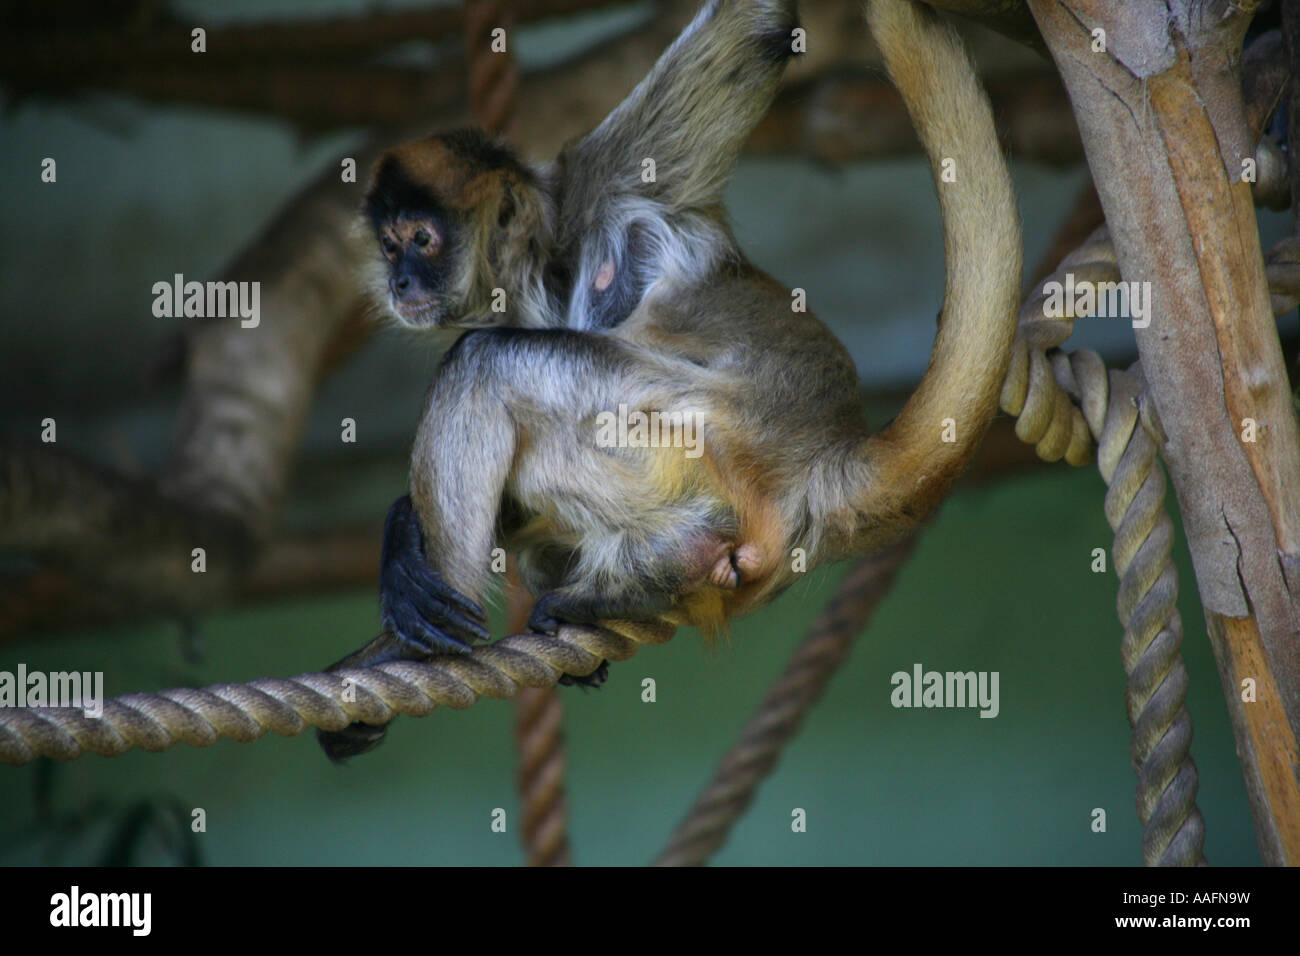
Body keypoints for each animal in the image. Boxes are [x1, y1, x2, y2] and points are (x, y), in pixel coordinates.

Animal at [318, 0, 1021, 760]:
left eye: (422, 241)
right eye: (390, 247)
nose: (400, 281)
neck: (551, 264)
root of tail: (825, 453)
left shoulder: (607, 176)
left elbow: (756, 26)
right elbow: (761, 27)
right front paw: (400, 533)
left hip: (694, 433)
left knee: (482, 361)